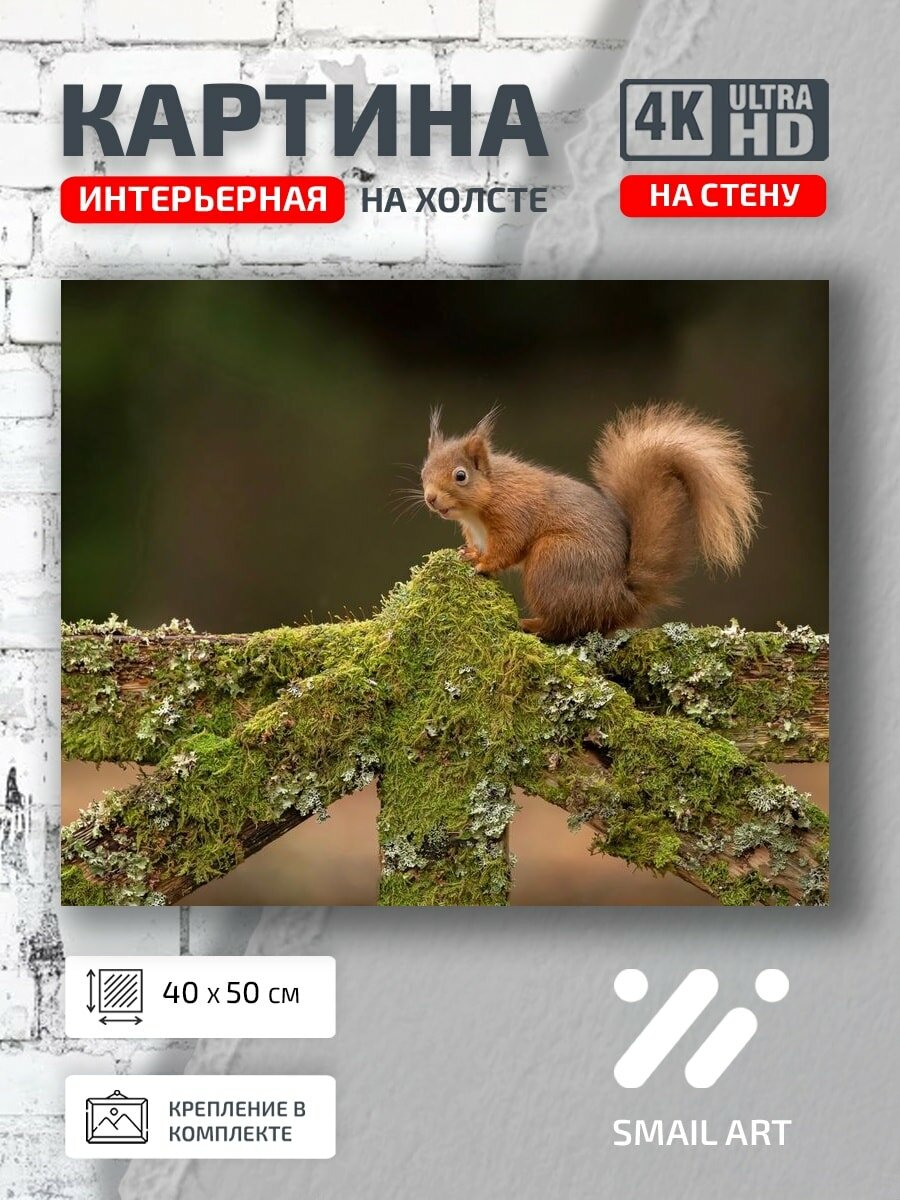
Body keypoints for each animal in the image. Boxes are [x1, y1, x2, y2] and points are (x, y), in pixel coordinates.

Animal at [420, 403, 759, 641]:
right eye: (424, 470)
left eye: (461, 476)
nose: (431, 498)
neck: (484, 499)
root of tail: (621, 599)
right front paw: (470, 554)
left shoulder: (514, 513)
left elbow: (509, 548)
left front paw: (483, 564)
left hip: (554, 559)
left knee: (565, 626)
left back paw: (531, 624)